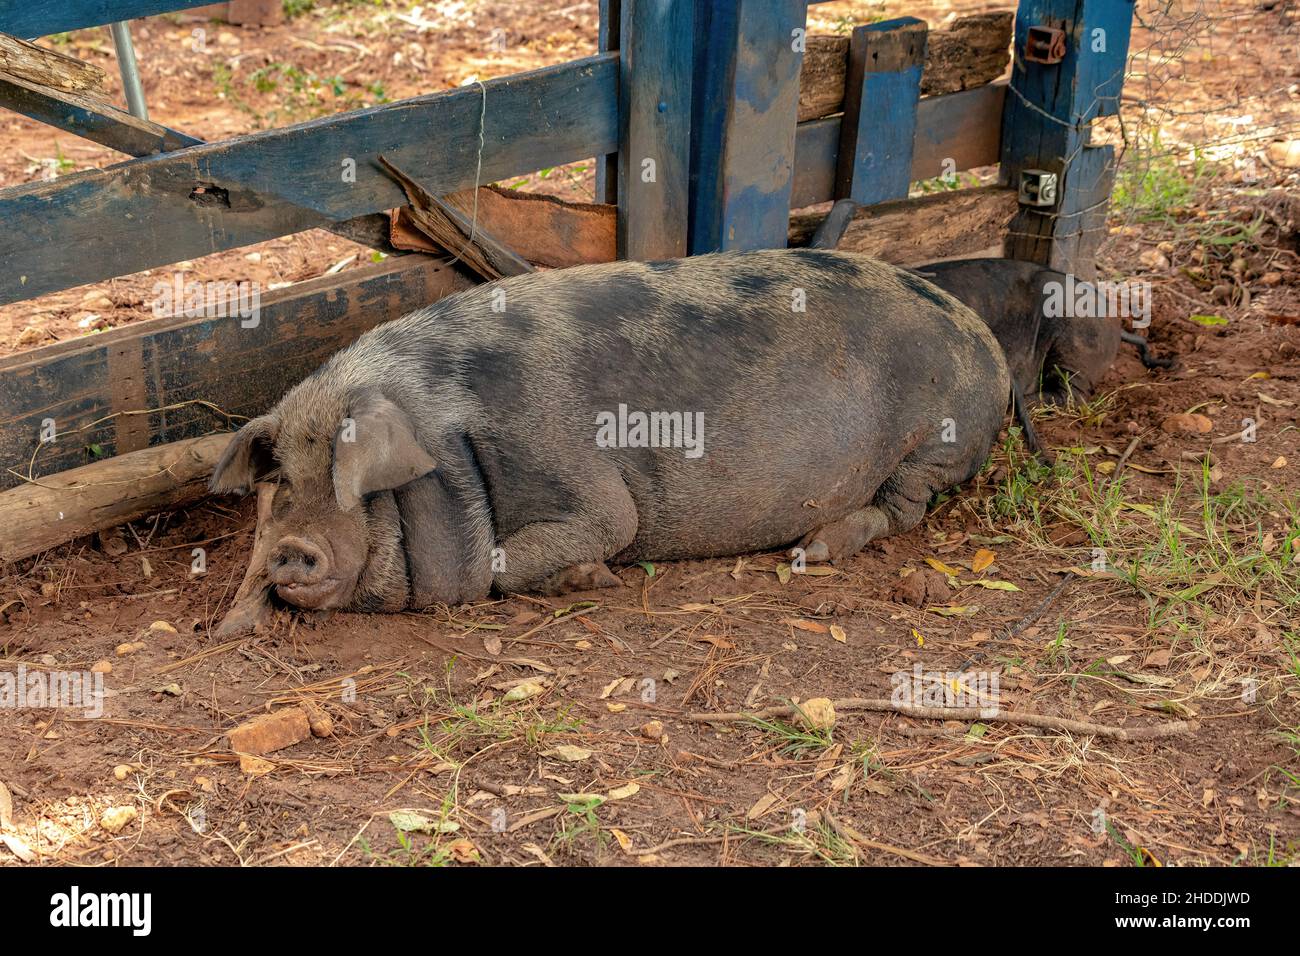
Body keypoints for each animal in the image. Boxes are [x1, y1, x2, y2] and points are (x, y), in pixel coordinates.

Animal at [210, 248, 1010, 610]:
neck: (451, 435)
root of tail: (989, 342)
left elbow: (563, 541)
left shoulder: (585, 483)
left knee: (903, 507)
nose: (287, 551)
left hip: (936, 441)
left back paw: (812, 550)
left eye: (355, 481)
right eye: (283, 482)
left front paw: (595, 576)